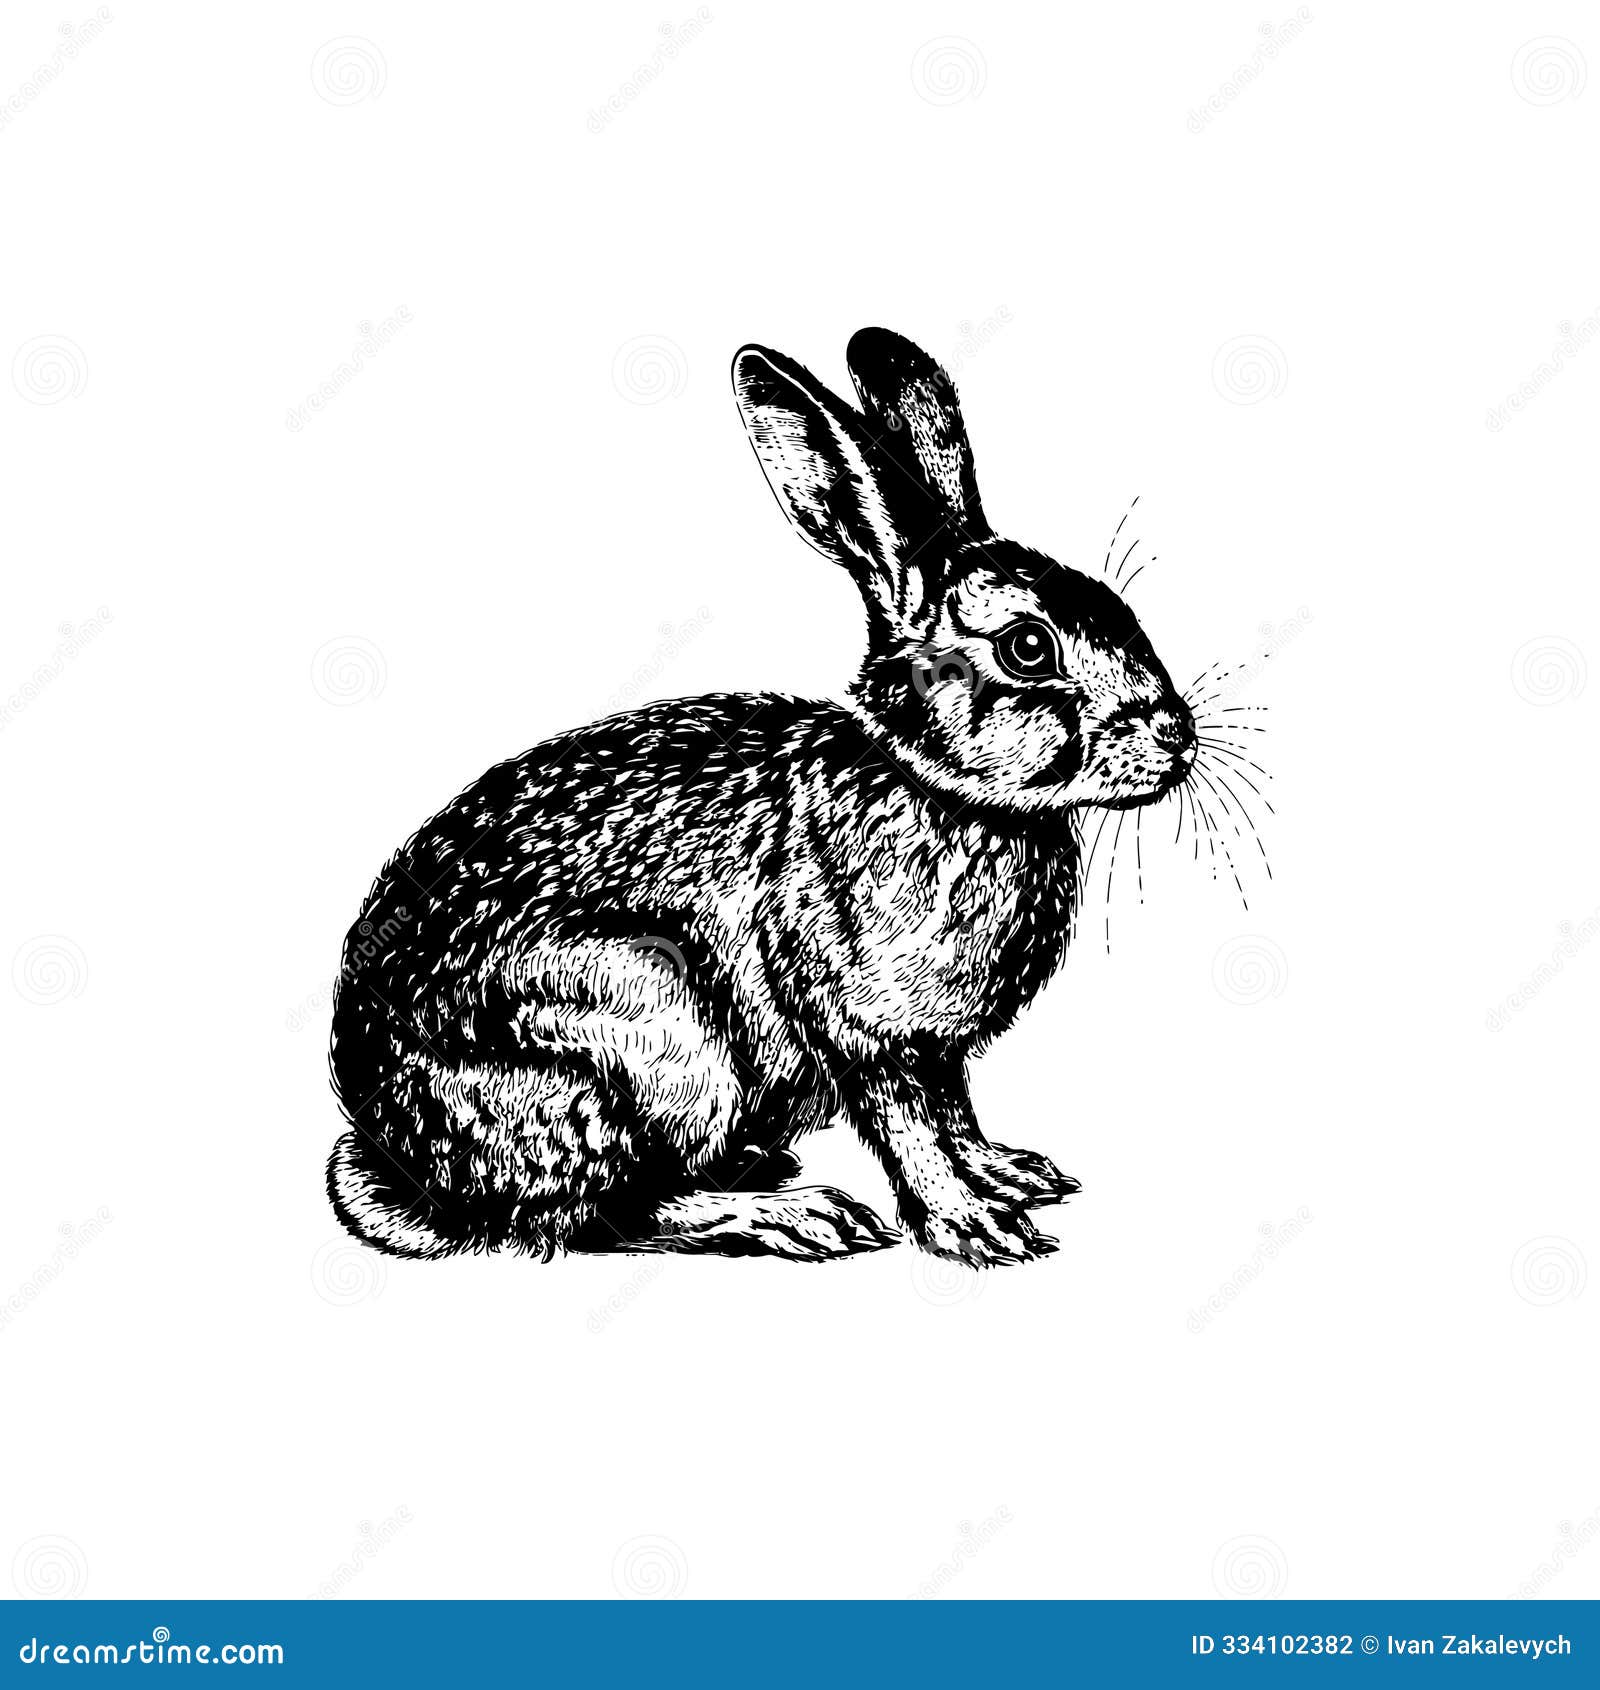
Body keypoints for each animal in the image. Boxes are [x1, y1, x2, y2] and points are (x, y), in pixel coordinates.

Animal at [327, 327, 1196, 1265]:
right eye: (1028, 648)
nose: (1177, 736)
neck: (938, 789)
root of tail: (395, 1156)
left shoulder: (937, 1048)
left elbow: (955, 1113)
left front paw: (1010, 1174)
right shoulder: (867, 1029)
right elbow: (911, 1129)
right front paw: (974, 1225)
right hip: (647, 1038)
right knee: (610, 1214)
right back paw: (799, 1214)